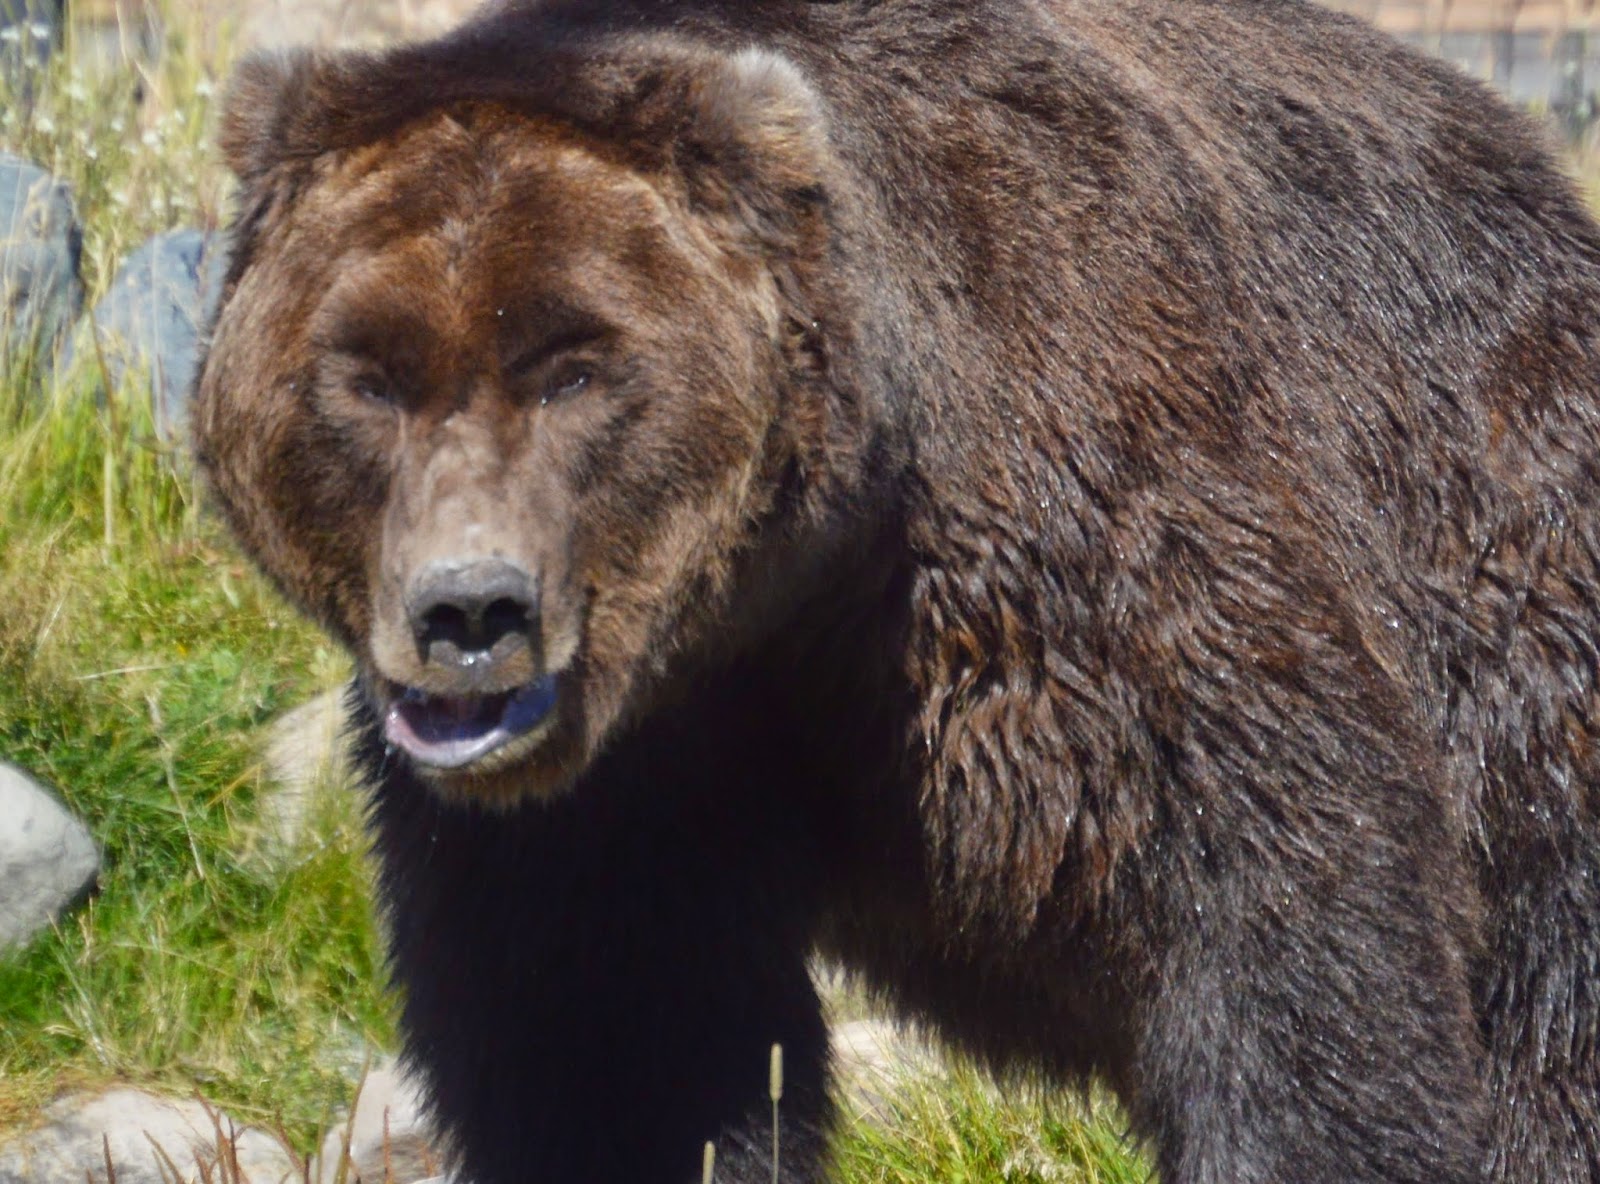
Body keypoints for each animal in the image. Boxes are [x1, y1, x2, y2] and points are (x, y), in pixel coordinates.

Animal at [192, 0, 1600, 1181]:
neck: (777, 595)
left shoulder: (1085, 556)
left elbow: (1284, 920)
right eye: (366, 373)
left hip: (1513, 587)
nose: (470, 611)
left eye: (573, 365)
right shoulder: (618, 789)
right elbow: (615, 1040)